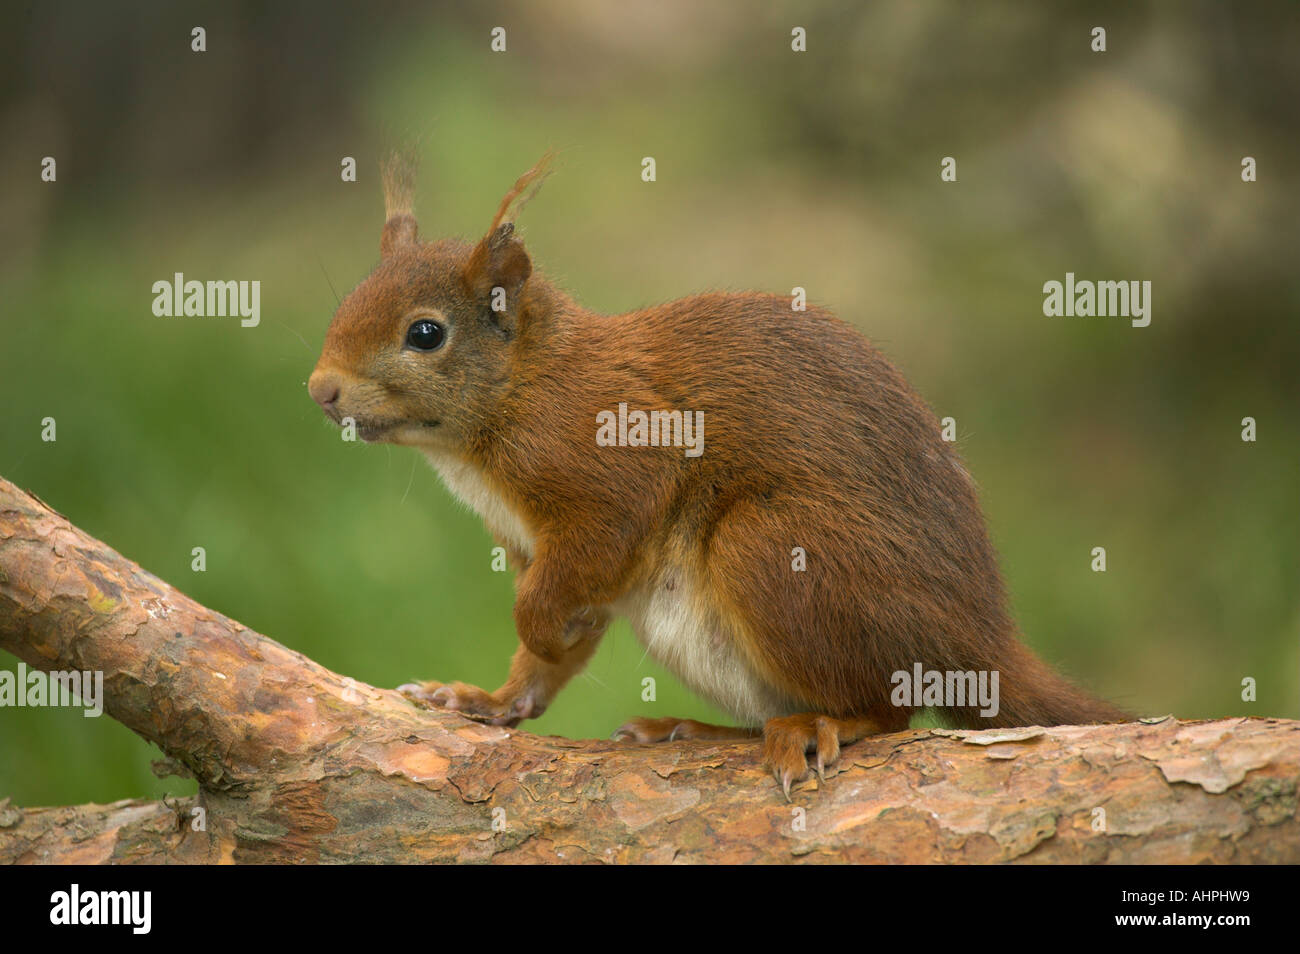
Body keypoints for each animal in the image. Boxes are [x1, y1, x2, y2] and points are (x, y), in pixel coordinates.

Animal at [308, 152, 1128, 796]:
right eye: (348, 300)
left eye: (426, 334)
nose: (320, 390)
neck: (522, 392)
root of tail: (978, 646)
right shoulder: (539, 547)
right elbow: (553, 656)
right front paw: (487, 698)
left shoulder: (614, 471)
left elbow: (564, 584)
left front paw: (537, 629)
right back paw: (696, 731)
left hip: (772, 549)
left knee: (890, 711)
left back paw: (814, 724)